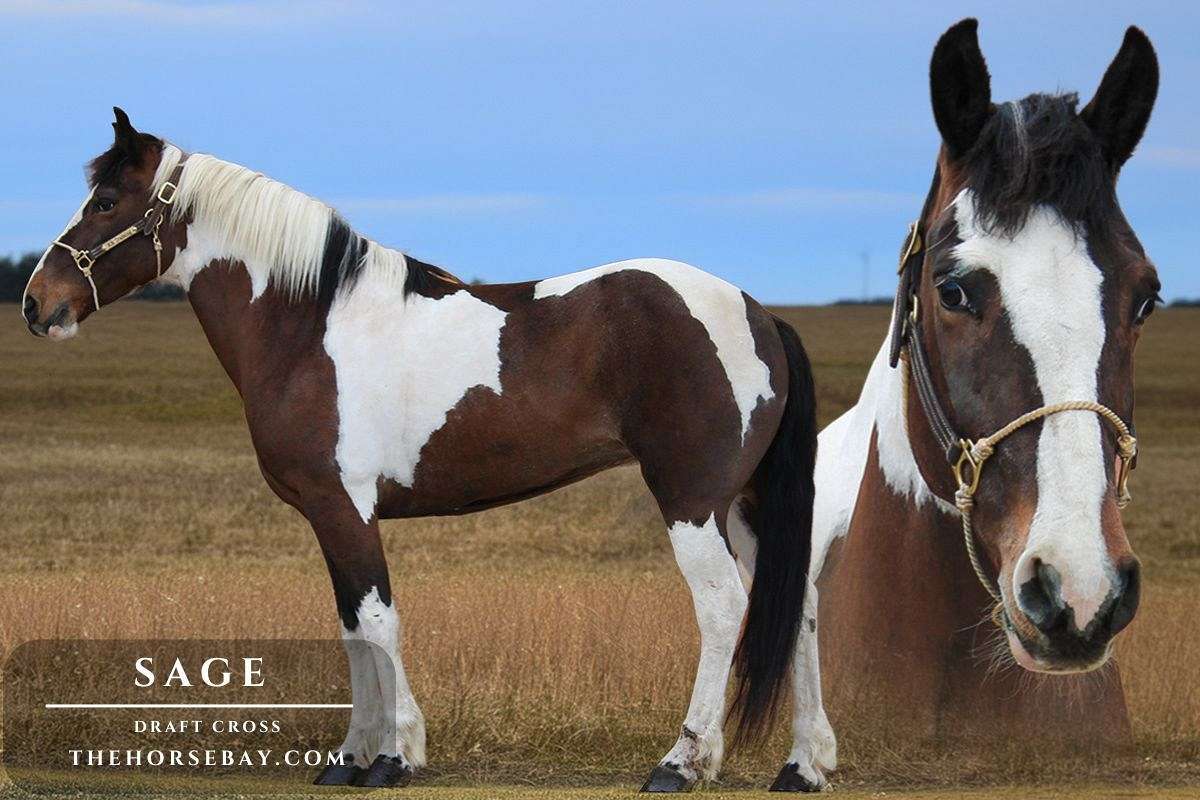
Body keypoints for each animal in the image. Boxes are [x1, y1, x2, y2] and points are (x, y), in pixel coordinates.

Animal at [21, 108, 819, 791]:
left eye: (106, 201)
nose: (37, 303)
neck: (308, 326)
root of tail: (760, 314)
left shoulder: (344, 506)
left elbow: (378, 621)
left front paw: (394, 757)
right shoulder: (328, 516)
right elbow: (351, 628)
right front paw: (348, 758)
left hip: (692, 501)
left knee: (722, 606)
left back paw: (680, 763)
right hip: (746, 506)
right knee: (801, 604)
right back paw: (803, 766)